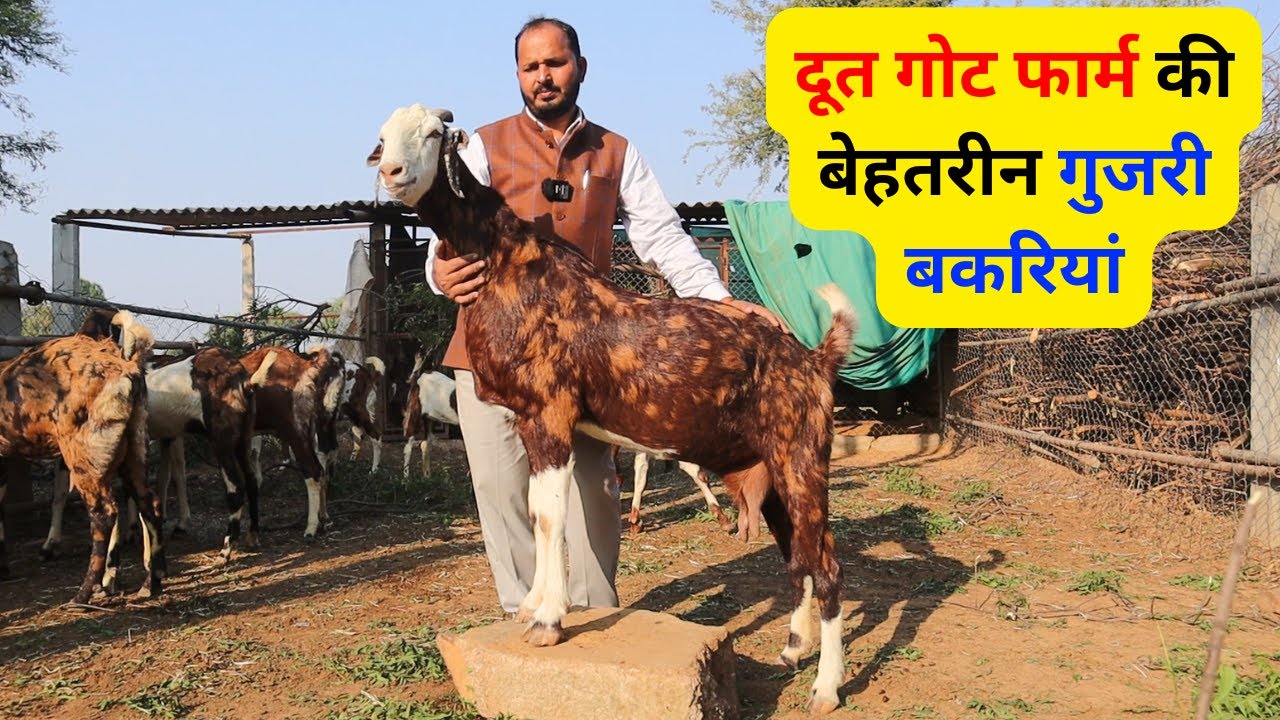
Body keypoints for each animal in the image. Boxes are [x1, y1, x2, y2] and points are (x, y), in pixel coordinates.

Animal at [0, 312, 165, 604]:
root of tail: (126, 365)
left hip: (85, 459)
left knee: (104, 513)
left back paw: (85, 592)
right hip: (132, 452)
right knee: (148, 503)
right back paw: (151, 582)